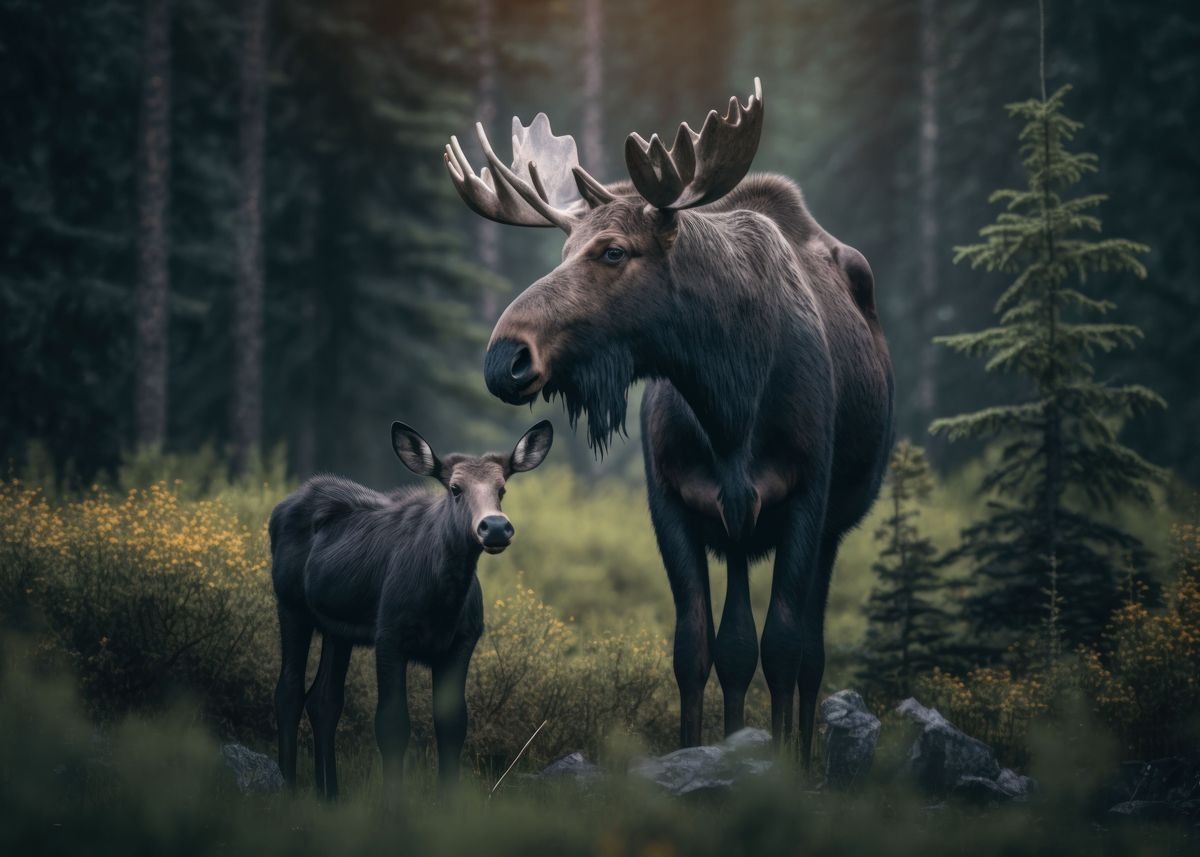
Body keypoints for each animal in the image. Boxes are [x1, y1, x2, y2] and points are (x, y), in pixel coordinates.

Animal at [268, 419, 553, 798]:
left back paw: (330, 795)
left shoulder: (461, 644)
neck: (443, 601)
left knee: (324, 699)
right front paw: (394, 805)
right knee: (288, 692)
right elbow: (391, 726)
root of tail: (279, 509)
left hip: (337, 630)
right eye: (455, 488)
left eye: (502, 488)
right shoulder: (390, 637)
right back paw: (288, 788)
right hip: (290, 607)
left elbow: (452, 726)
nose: (494, 527)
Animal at [444, 79, 894, 764]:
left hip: (833, 524)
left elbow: (785, 648)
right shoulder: (672, 503)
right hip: (735, 534)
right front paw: (700, 750)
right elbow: (695, 650)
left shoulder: (807, 502)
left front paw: (784, 761)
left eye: (613, 251)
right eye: (563, 249)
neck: (731, 402)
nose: (505, 357)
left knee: (809, 655)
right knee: (736, 646)